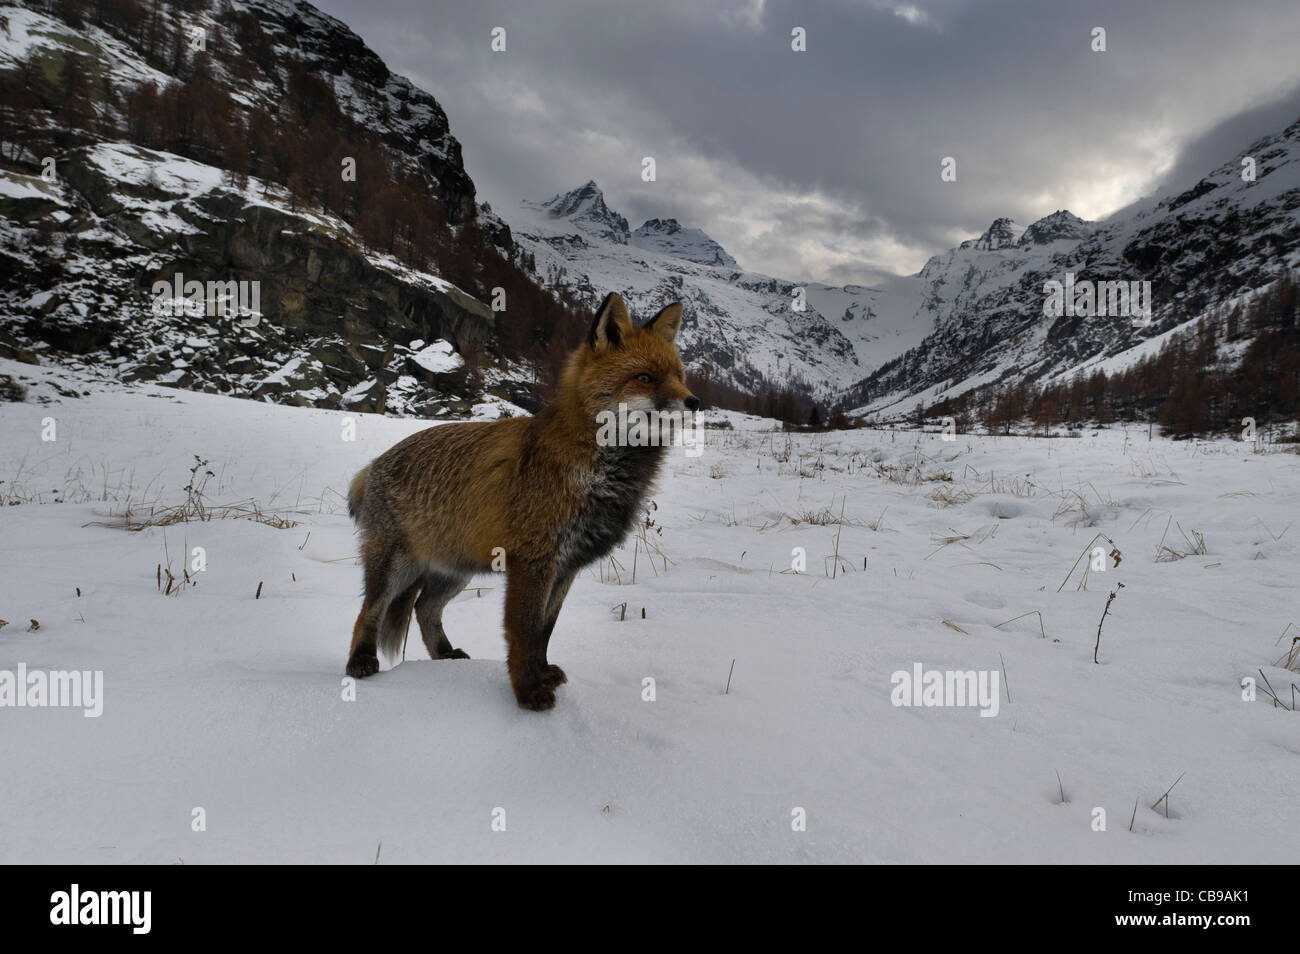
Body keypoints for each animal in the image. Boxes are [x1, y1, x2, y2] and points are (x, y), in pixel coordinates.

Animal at [345, 292, 699, 710]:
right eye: (645, 377)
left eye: (679, 376)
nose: (696, 403)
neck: (599, 472)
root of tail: (370, 465)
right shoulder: (532, 560)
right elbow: (522, 631)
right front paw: (527, 692)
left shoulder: (565, 566)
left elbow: (543, 631)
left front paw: (542, 673)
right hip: (395, 567)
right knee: (369, 611)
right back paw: (360, 661)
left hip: (455, 570)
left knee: (424, 608)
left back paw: (445, 656)